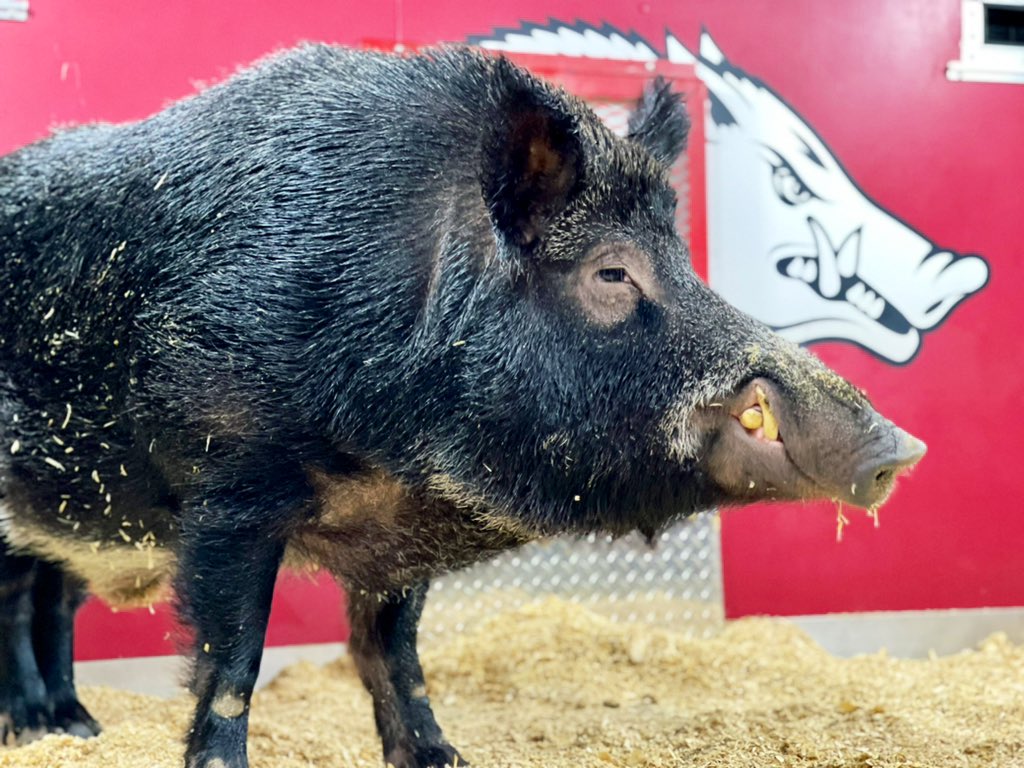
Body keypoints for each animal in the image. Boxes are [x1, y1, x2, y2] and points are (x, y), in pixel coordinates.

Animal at [0, 44, 925, 768]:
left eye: (687, 261)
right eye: (612, 271)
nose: (900, 449)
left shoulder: (398, 538)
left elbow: (394, 654)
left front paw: (443, 758)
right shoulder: (232, 489)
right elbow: (231, 662)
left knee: (50, 599)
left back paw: (75, 727)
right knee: (19, 599)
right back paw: (39, 731)